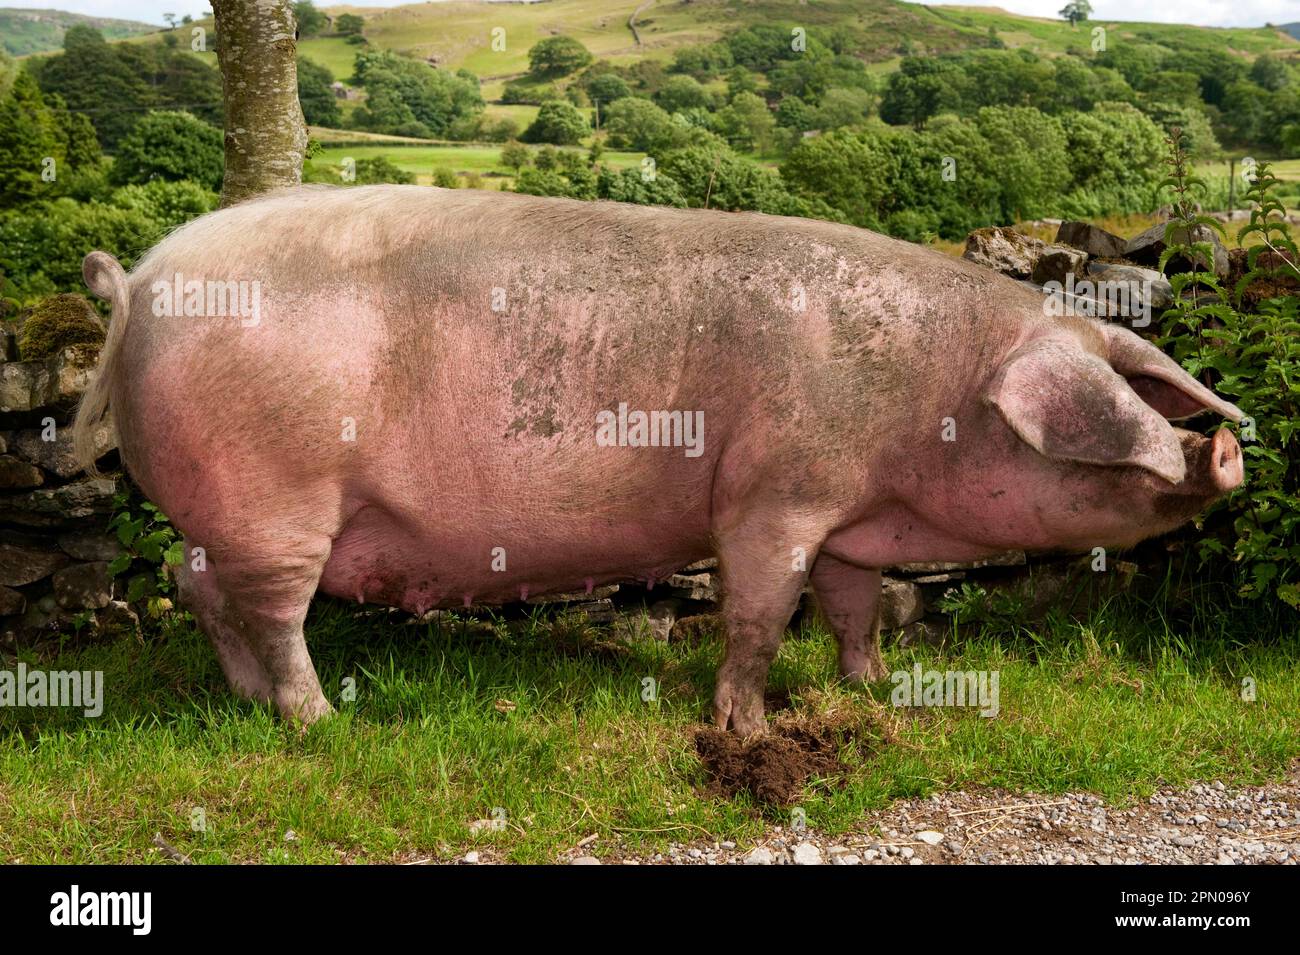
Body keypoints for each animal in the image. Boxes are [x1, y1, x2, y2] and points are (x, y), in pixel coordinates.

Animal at [73, 185, 1244, 735]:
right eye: (1114, 423)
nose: (1224, 446)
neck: (932, 394)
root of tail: (139, 283)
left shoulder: (849, 518)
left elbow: (856, 604)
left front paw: (870, 692)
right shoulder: (775, 491)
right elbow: (759, 610)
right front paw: (741, 725)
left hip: (221, 513)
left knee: (192, 582)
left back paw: (241, 703)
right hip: (279, 497)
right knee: (274, 610)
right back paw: (318, 723)